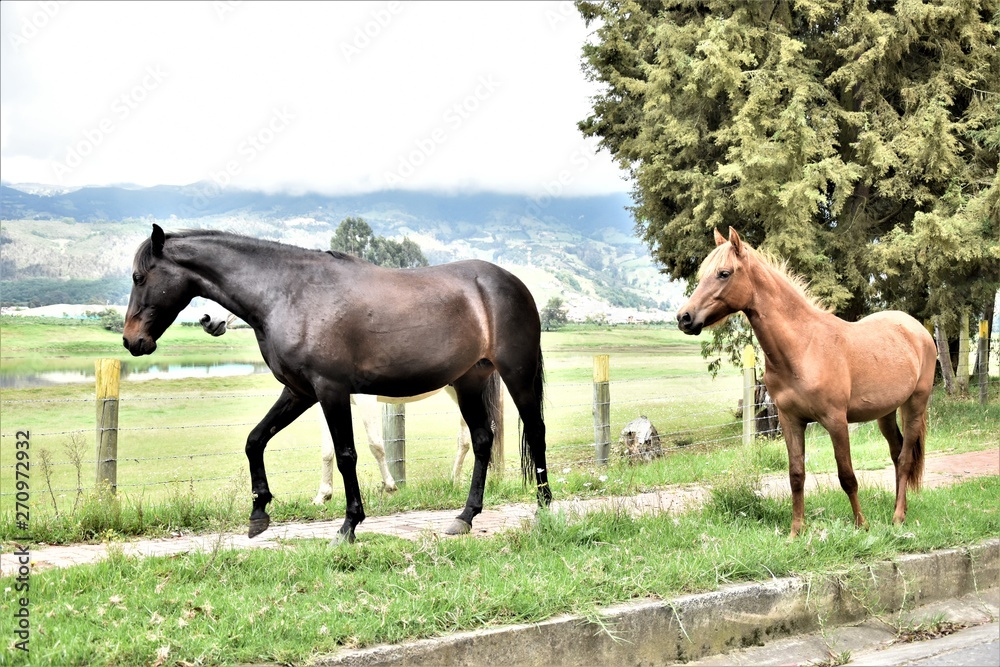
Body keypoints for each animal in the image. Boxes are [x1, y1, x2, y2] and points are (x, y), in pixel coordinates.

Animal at [197, 313, 503, 498]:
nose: (208, 320)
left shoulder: (366, 401)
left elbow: (376, 444)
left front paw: (390, 487)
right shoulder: (327, 402)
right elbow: (327, 451)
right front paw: (323, 495)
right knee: (465, 438)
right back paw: (454, 482)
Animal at [677, 228, 936, 537]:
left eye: (724, 273)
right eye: (703, 273)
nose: (684, 317)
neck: (803, 347)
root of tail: (917, 329)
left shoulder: (835, 421)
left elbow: (847, 475)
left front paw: (861, 525)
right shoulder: (790, 420)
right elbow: (796, 474)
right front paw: (795, 531)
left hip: (915, 405)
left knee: (906, 458)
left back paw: (897, 517)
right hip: (885, 412)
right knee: (896, 454)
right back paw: (901, 511)